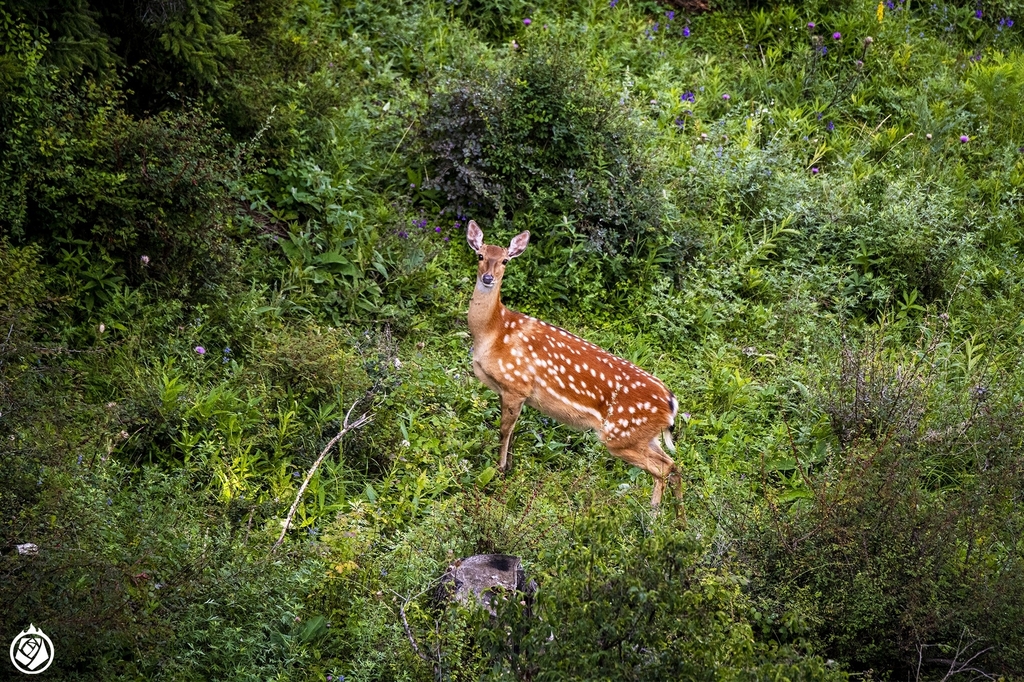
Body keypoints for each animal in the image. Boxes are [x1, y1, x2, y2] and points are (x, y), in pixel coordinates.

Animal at [466, 220, 682, 506]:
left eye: (505, 260)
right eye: (480, 256)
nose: (488, 278)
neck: (493, 331)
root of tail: (672, 403)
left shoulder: (516, 384)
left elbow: (504, 432)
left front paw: (499, 470)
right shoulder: (514, 393)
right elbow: (512, 434)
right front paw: (509, 467)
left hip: (620, 436)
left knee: (664, 467)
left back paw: (654, 514)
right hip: (646, 436)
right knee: (673, 465)